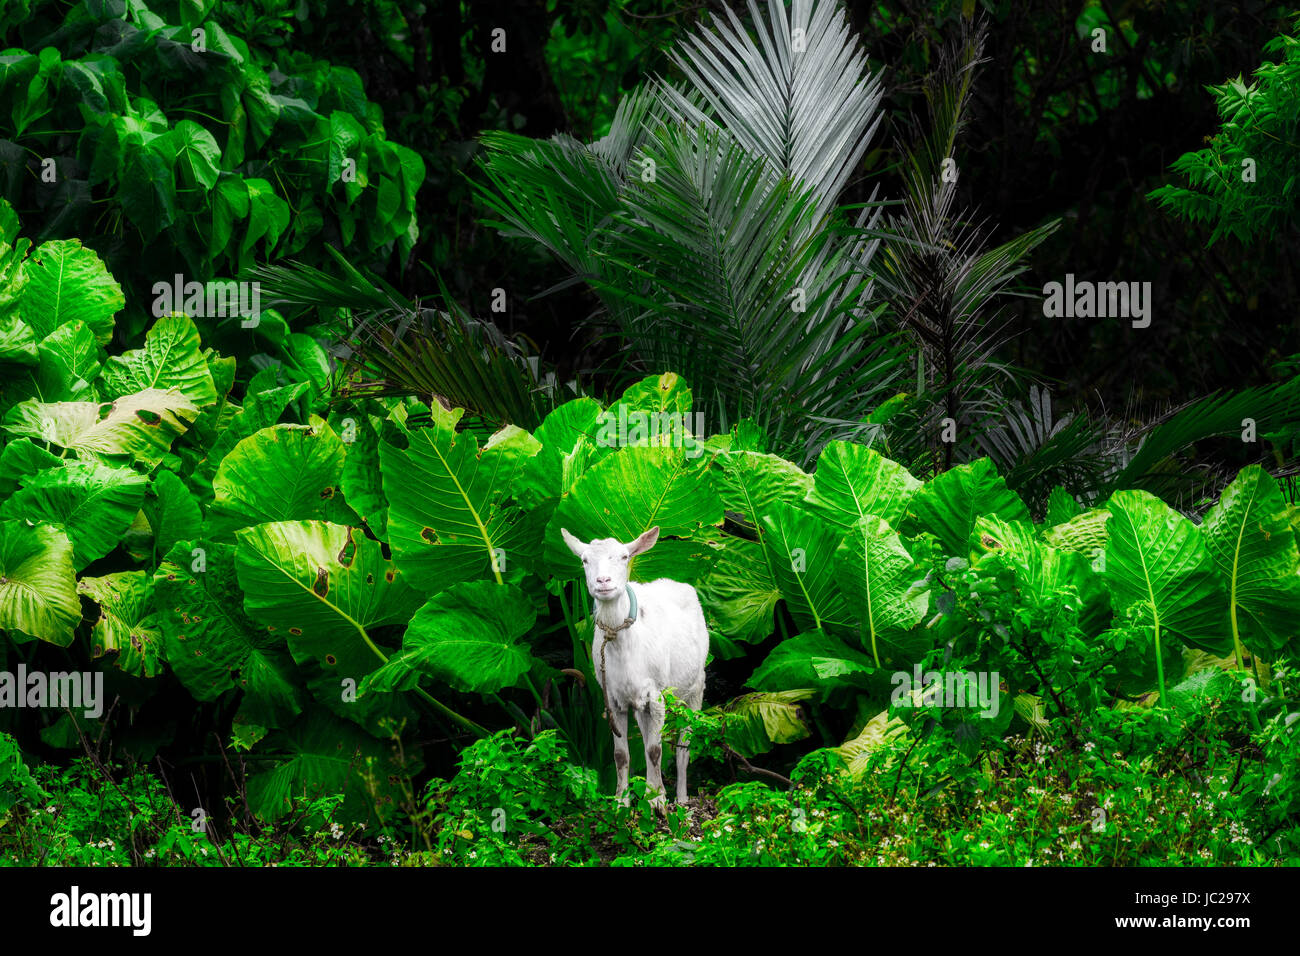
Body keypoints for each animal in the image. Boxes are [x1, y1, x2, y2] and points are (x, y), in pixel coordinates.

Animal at [560, 526, 708, 807]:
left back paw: (681, 798)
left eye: (624, 557)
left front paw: (658, 800)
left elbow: (654, 749)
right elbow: (622, 755)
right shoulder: (612, 698)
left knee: (683, 744)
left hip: (695, 687)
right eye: (584, 560)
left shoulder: (657, 693)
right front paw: (622, 801)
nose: (603, 581)